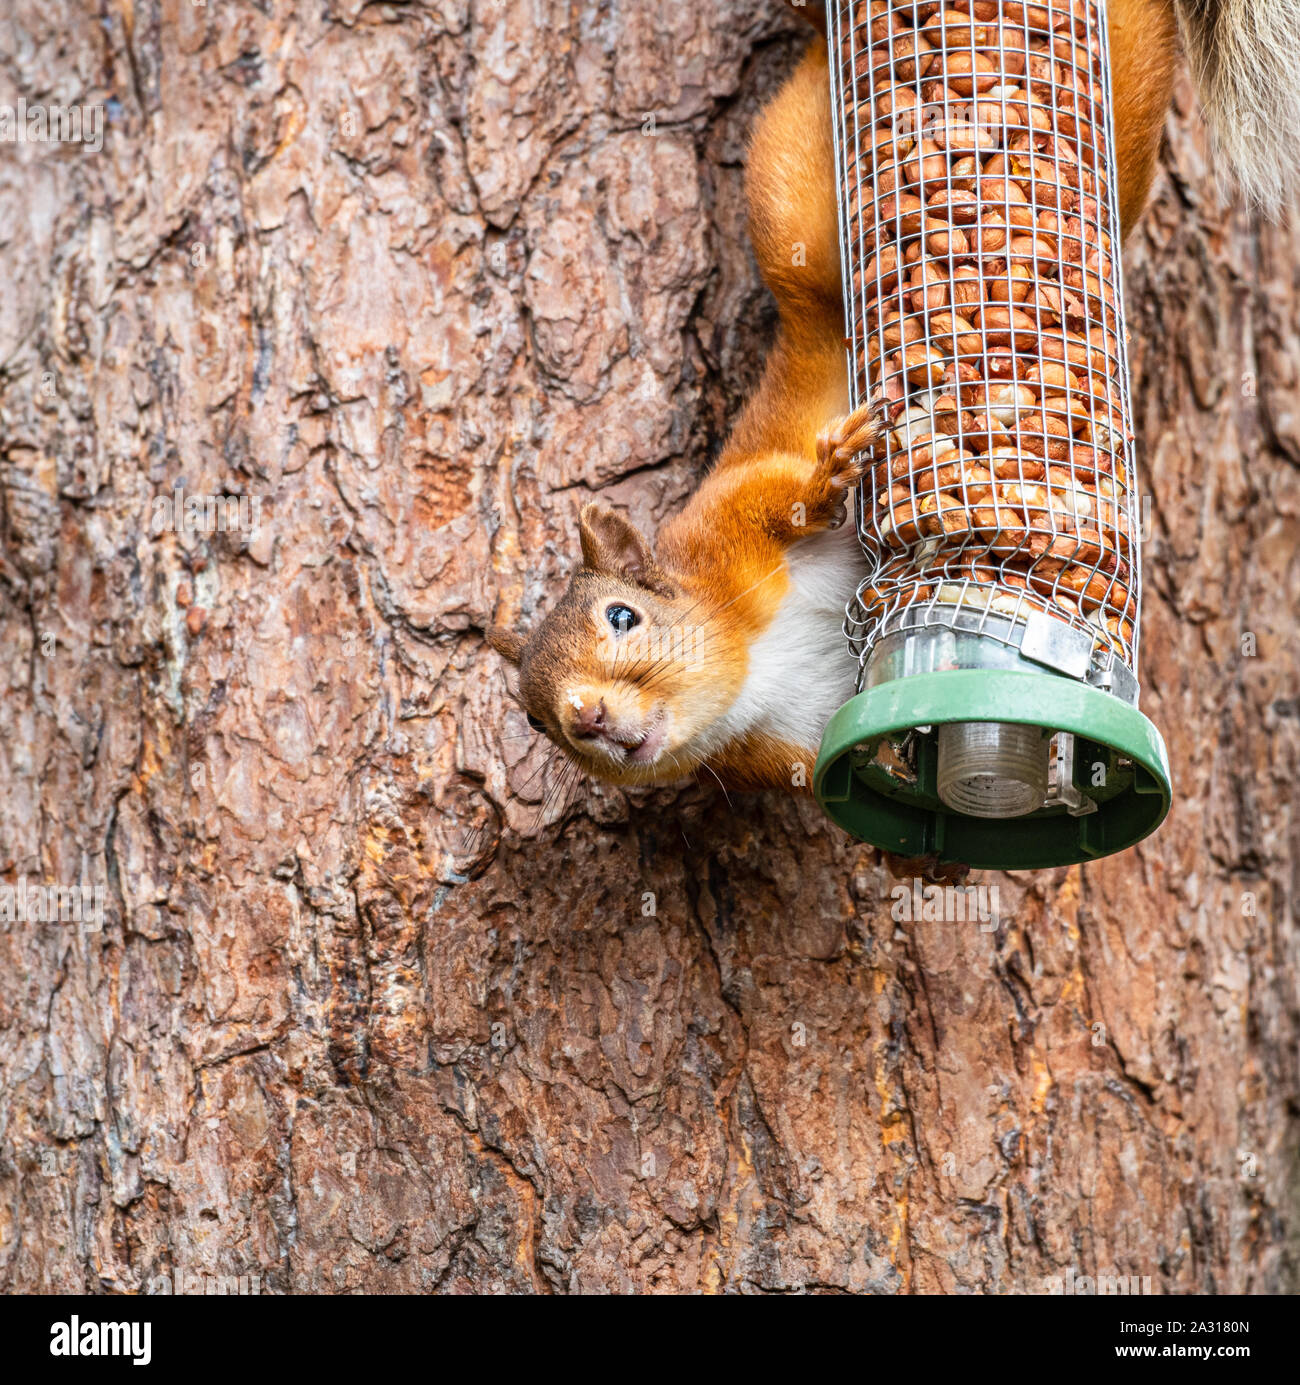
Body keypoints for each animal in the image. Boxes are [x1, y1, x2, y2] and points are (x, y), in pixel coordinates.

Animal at [488, 0, 1299, 802]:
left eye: (623, 615)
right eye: (532, 718)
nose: (585, 716)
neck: (751, 674)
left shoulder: (722, 527)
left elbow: (779, 495)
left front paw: (830, 472)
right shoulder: (788, 746)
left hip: (801, 215)